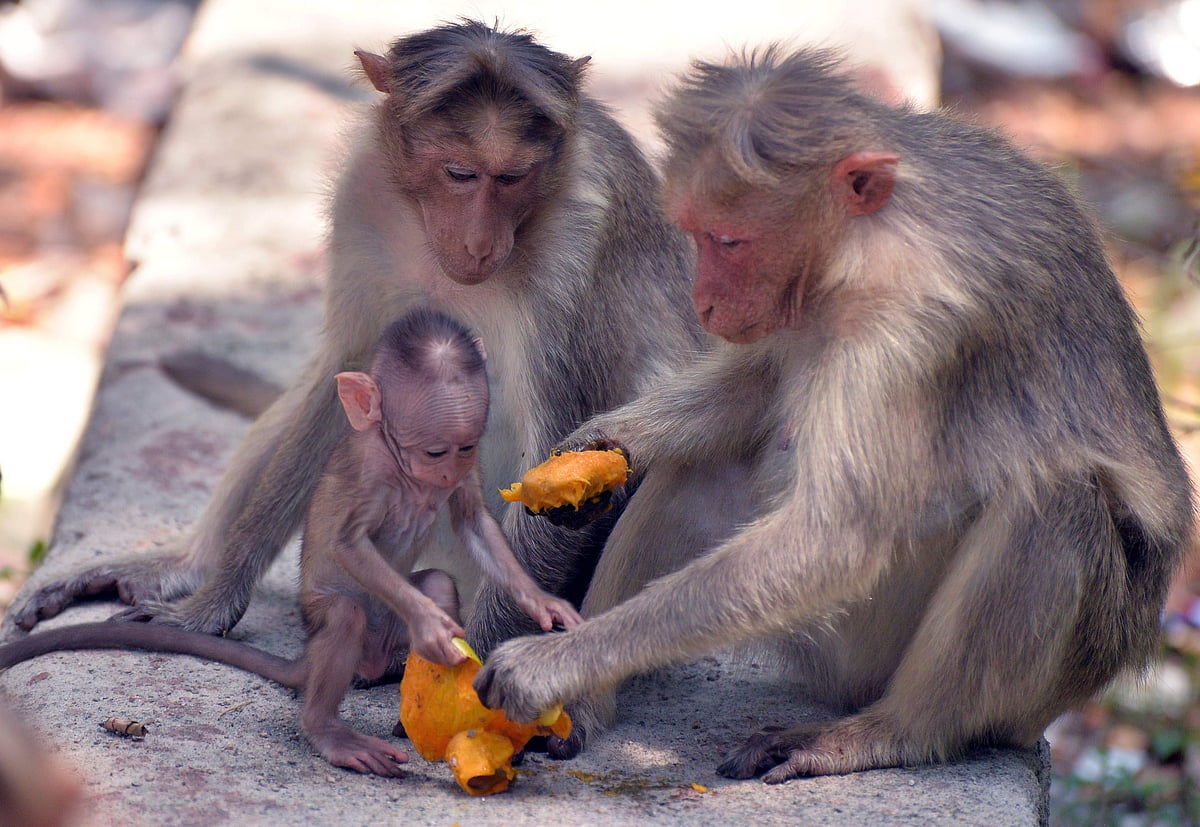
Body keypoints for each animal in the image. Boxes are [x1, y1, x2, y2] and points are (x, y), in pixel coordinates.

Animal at [0, 309, 582, 777]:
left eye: (465, 447)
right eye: (434, 450)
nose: (445, 472)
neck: (406, 474)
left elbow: (473, 522)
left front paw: (541, 602)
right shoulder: (370, 474)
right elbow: (349, 544)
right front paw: (434, 625)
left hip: (386, 637)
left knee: (437, 582)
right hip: (325, 618)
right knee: (344, 616)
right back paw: (330, 730)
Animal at [6, 20, 703, 646]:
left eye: (511, 177)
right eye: (459, 173)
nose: (482, 244)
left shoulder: (571, 255)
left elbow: (560, 461)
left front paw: (480, 688)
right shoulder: (365, 196)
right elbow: (348, 379)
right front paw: (211, 605)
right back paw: (184, 566)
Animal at [471, 47, 1196, 781]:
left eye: (728, 241)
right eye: (695, 235)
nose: (704, 301)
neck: (866, 243)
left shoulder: (906, 329)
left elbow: (834, 539)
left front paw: (552, 663)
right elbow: (762, 381)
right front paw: (610, 442)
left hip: (987, 663)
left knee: (1058, 502)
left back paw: (897, 731)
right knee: (708, 469)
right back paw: (588, 709)